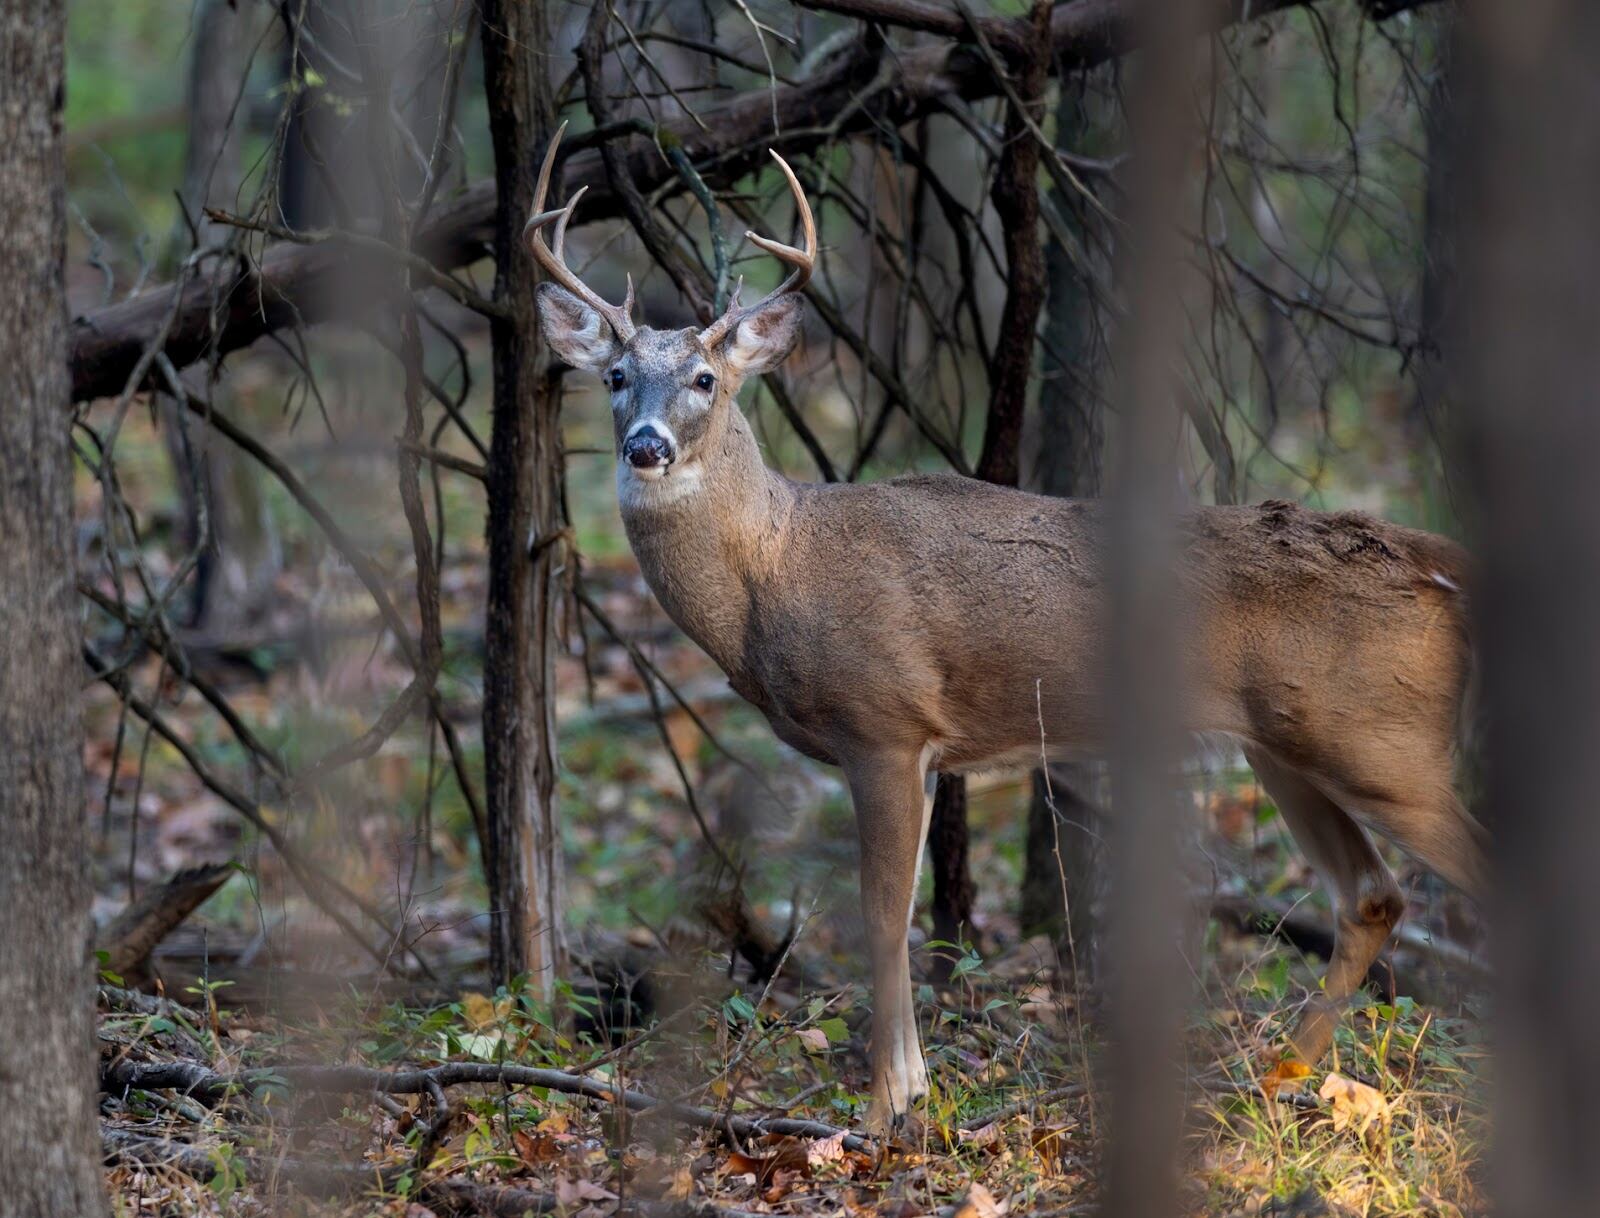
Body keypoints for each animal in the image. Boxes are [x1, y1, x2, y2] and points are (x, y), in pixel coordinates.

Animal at [528, 127, 1488, 1136]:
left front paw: (883, 1108)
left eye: (706, 379)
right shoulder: (919, 749)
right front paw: (912, 1086)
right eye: (615, 376)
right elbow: (908, 914)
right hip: (1287, 744)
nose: (645, 446)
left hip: (1382, 740)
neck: (779, 566)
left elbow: (881, 916)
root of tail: (1436, 558)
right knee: (1372, 895)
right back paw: (1276, 1077)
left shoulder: (882, 722)